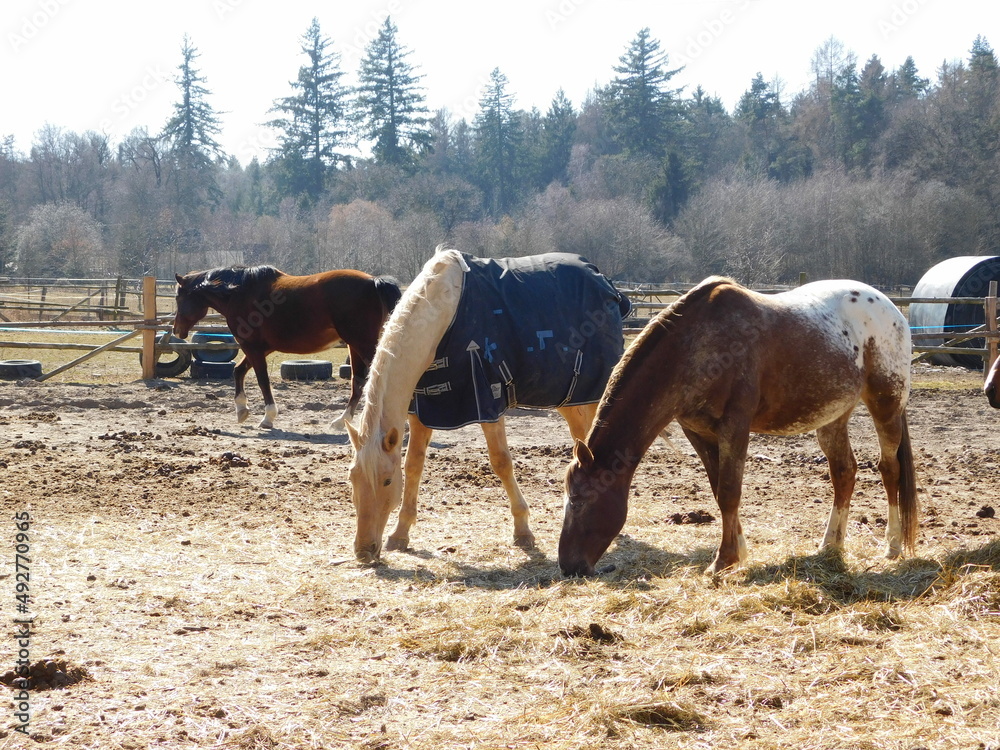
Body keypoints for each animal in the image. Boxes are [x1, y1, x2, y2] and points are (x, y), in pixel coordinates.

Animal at [172, 265, 401, 429]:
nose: (176, 330)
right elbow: (238, 371)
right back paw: (341, 421)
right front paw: (241, 411)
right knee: (359, 381)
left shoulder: (252, 348)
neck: (239, 293)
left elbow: (262, 381)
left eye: (178, 297)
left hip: (362, 344)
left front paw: (267, 418)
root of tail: (373, 281)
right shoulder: (260, 348)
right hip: (355, 345)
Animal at [346, 247, 632, 564]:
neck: (444, 313)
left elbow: (501, 462)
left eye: (386, 481)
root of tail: (603, 281)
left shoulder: (486, 402)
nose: (363, 550)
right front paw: (400, 533)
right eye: (352, 479)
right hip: (569, 399)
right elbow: (413, 464)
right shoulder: (423, 410)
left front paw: (523, 531)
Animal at [559, 276, 918, 577]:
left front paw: (723, 560)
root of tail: (892, 309)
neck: (696, 345)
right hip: (831, 418)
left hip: (885, 405)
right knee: (844, 473)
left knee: (889, 469)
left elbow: (730, 490)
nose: (568, 566)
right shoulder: (698, 432)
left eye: (578, 500)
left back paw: (892, 546)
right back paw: (830, 545)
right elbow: (719, 490)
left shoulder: (735, 426)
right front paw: (738, 551)